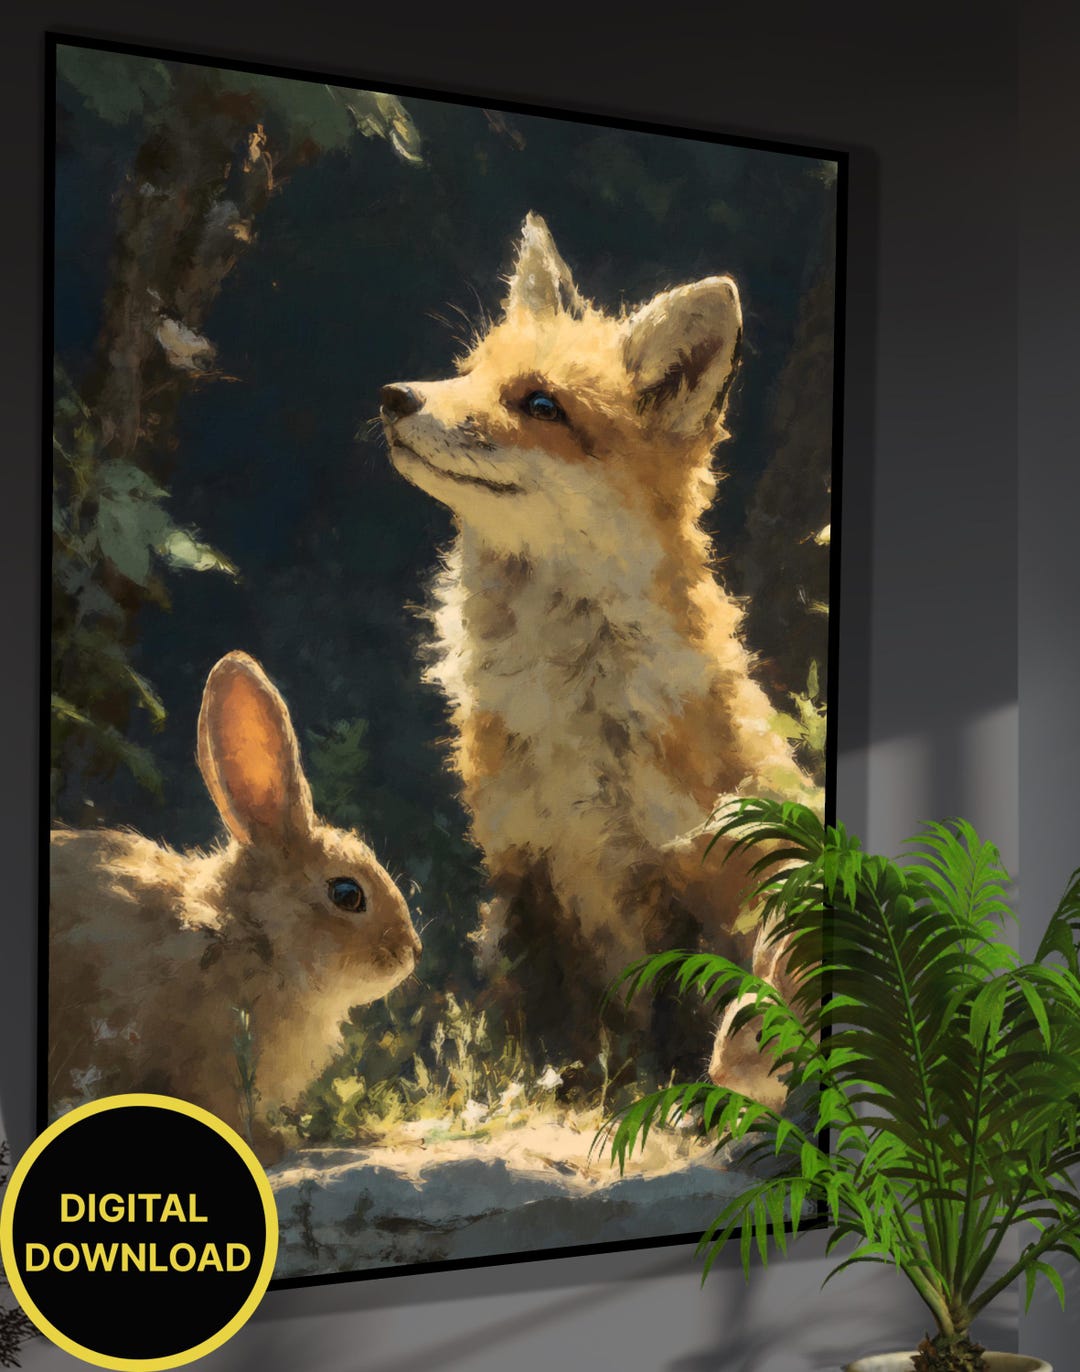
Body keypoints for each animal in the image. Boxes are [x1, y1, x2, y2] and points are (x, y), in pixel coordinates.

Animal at [380, 213, 821, 1090]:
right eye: (469, 370)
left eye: (540, 403)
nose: (395, 397)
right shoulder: (523, 868)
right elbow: (538, 1022)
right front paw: (548, 1082)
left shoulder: (689, 869)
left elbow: (680, 1017)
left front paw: (668, 1089)